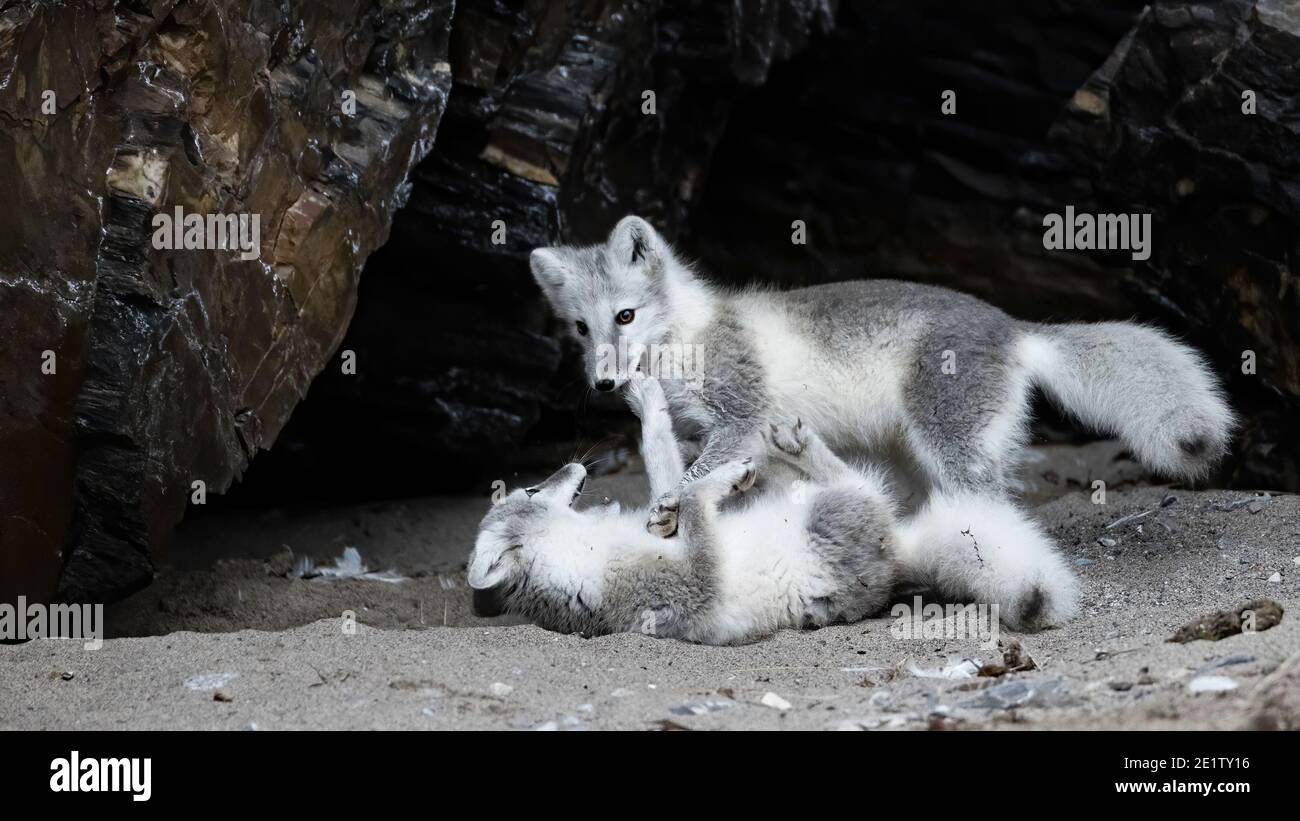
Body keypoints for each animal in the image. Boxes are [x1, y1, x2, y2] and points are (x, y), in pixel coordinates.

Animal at [467, 377, 1079, 643]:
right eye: (527, 492)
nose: (577, 465)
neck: (581, 552)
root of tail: (900, 556)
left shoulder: (661, 527)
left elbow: (668, 473)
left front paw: (649, 401)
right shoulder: (693, 584)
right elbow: (694, 498)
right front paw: (720, 480)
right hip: (833, 505)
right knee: (856, 479)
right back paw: (790, 449)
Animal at [530, 215, 1235, 533]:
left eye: (626, 314)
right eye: (581, 328)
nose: (603, 386)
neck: (693, 335)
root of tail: (1015, 326)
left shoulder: (741, 416)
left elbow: (700, 471)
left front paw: (676, 504)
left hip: (950, 441)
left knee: (991, 500)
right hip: (911, 452)